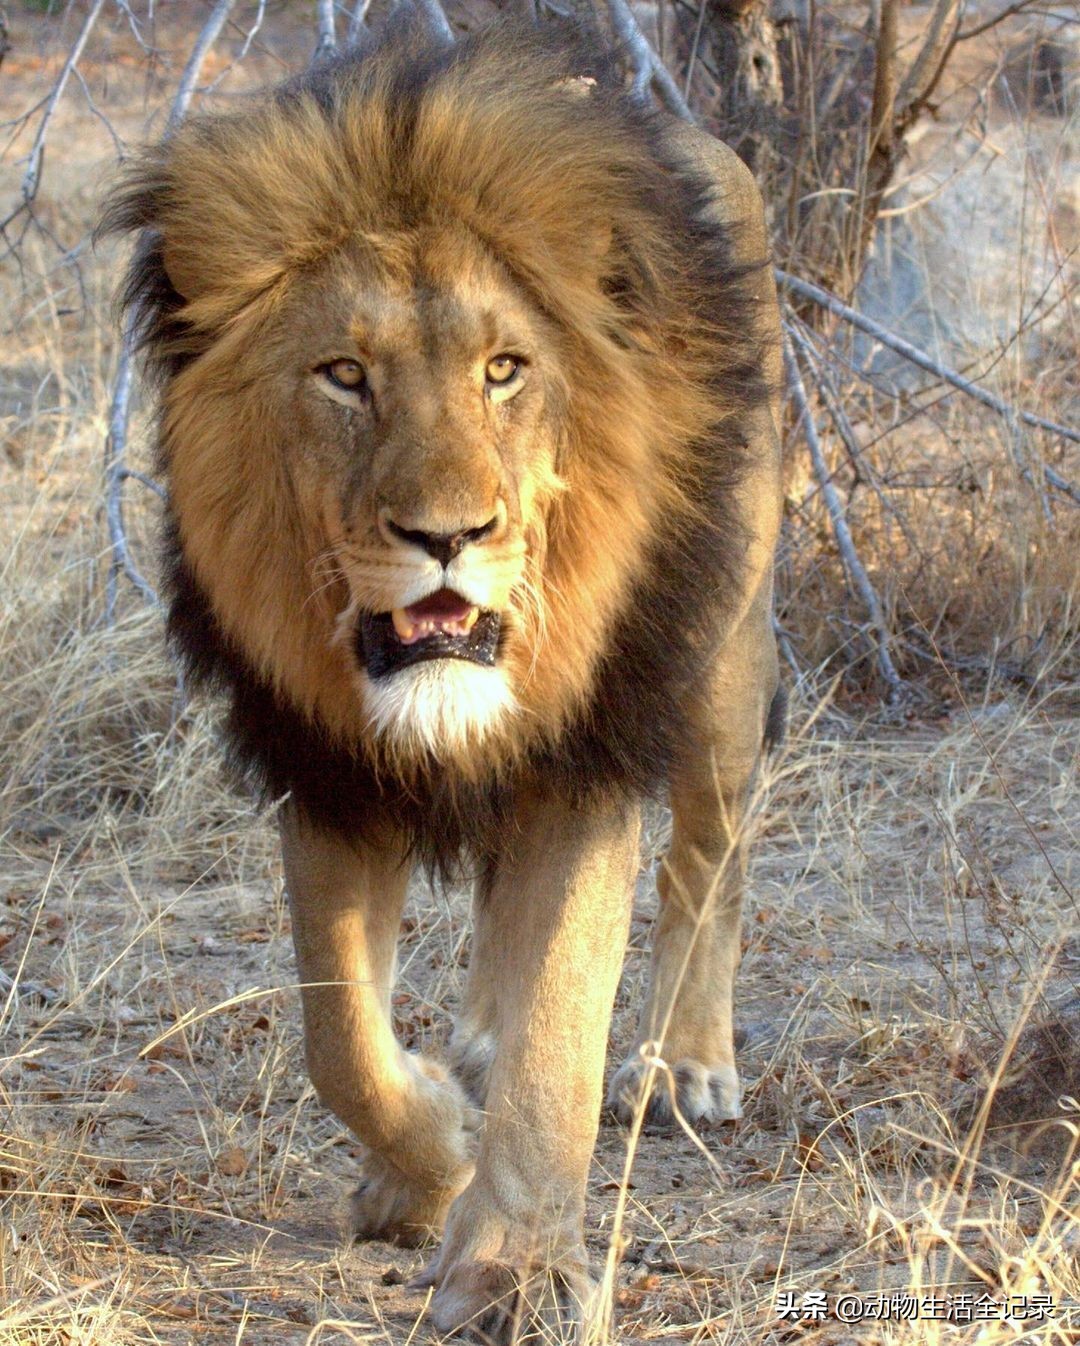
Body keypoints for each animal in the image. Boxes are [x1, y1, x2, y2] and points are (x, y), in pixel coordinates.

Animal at [104, 17, 784, 1340]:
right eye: (344, 374)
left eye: (505, 370)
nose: (447, 534)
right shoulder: (322, 767)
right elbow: (341, 1041)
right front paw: (426, 1161)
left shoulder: (585, 759)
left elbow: (560, 1033)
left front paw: (516, 1267)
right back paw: (469, 1043)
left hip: (723, 652)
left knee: (709, 858)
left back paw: (686, 1062)